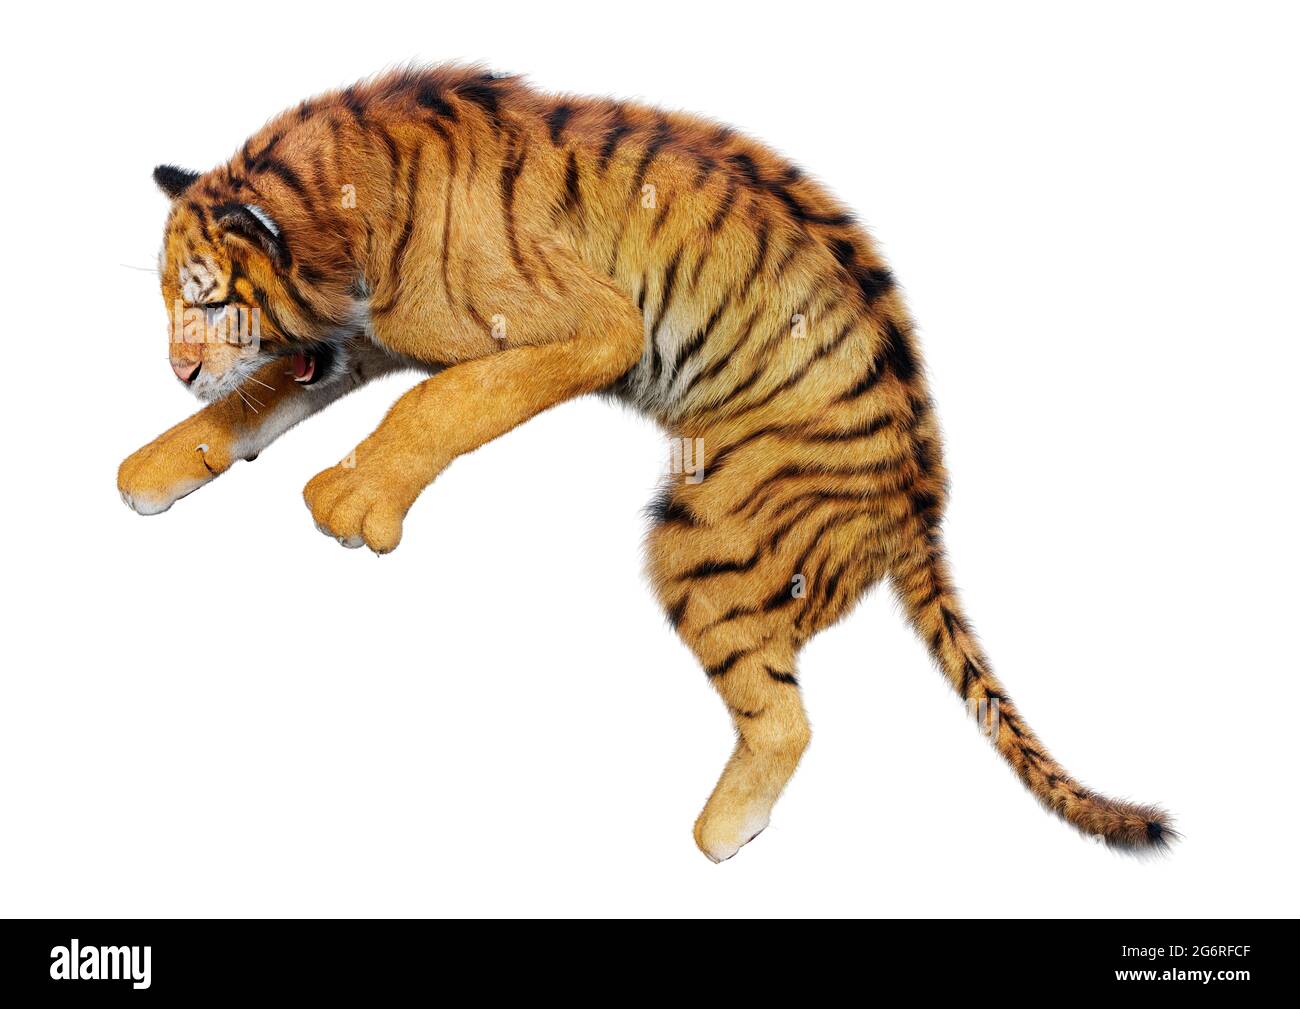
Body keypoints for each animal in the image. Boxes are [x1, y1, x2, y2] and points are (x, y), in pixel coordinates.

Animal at [117, 64, 1173, 862]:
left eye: (209, 301)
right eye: (170, 298)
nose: (176, 370)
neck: (349, 216)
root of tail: (922, 501)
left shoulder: (597, 327)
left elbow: (438, 400)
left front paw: (352, 503)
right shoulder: (350, 344)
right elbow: (255, 402)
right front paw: (146, 470)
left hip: (708, 535)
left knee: (785, 716)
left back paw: (719, 835)